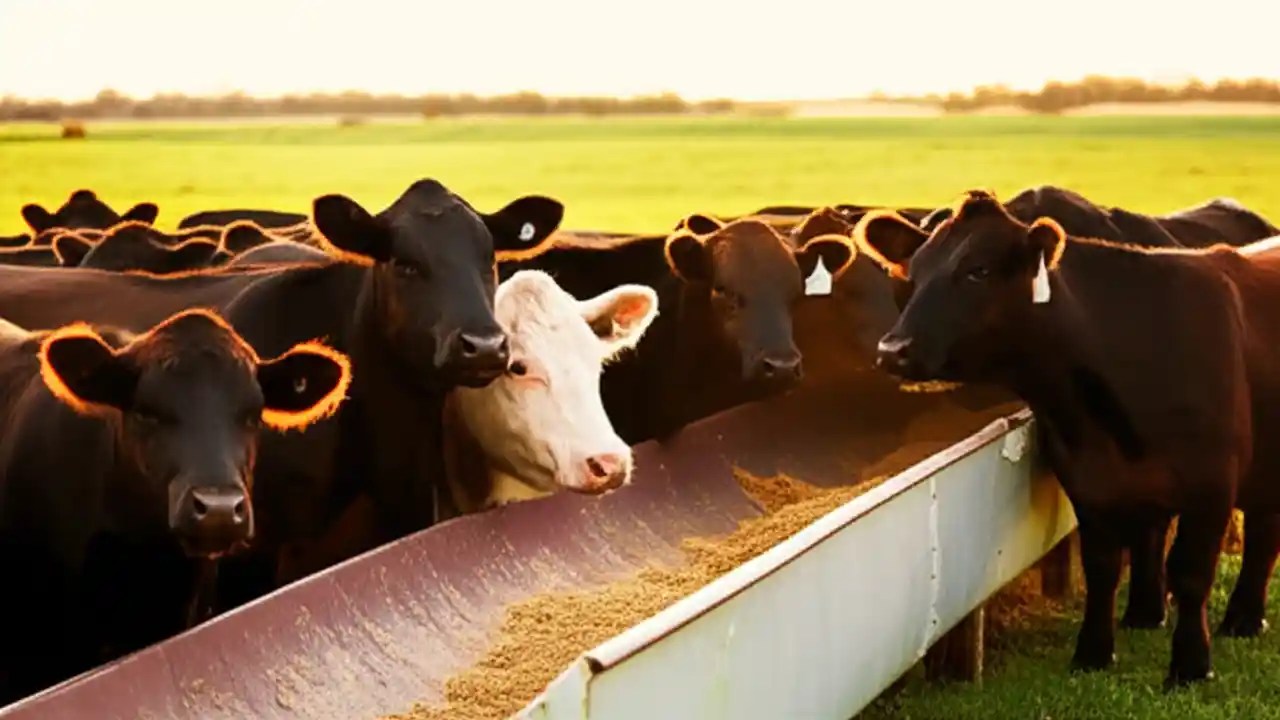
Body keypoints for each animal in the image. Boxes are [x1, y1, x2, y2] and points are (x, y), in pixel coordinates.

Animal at [858, 189, 1280, 688]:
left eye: (977, 270)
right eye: (914, 271)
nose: (892, 350)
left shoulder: (1212, 482)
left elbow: (1191, 573)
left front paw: (1191, 667)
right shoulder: (1088, 480)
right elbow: (1102, 567)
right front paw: (1093, 653)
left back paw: (1242, 619)